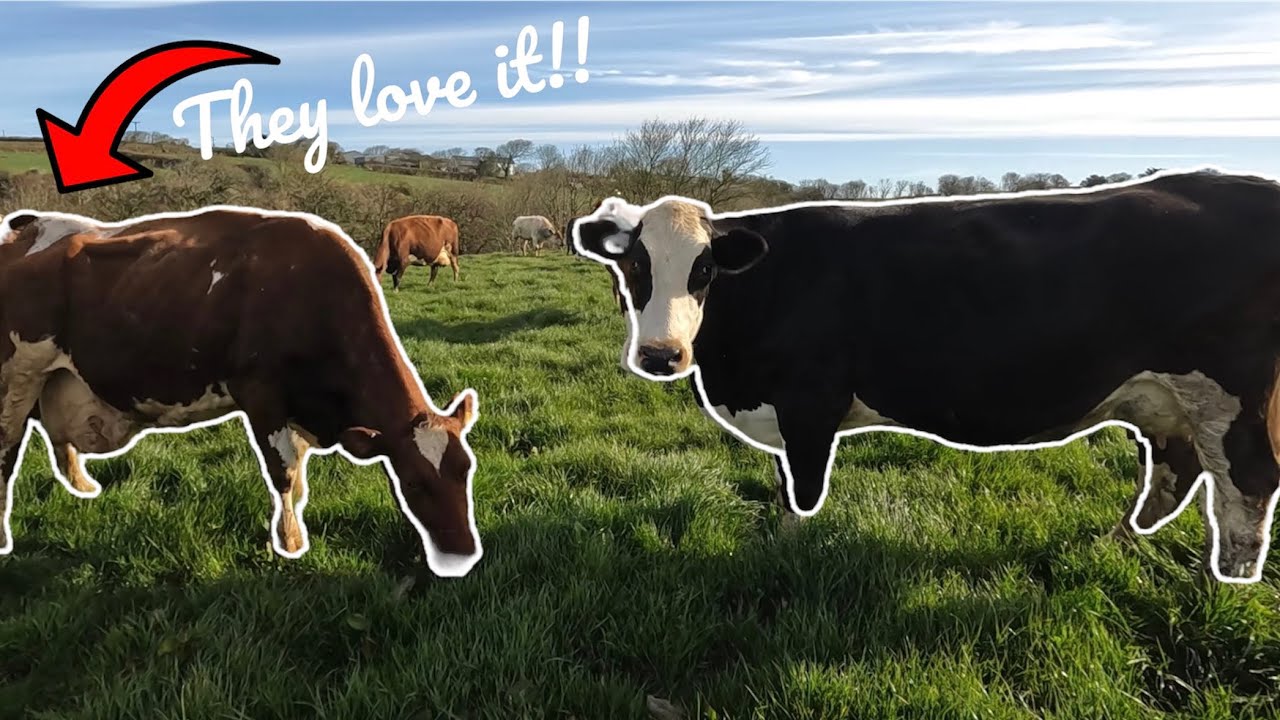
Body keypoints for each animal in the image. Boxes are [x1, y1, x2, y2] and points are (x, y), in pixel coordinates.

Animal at [0, 206, 484, 578]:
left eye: (467, 470)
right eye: (414, 484)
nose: (462, 552)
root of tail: (26, 227)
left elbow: (300, 479)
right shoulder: (261, 396)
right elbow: (283, 474)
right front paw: (290, 543)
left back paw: (84, 486)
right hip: (17, 378)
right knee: (7, 456)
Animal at [573, 168, 1280, 584]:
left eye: (705, 269)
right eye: (635, 267)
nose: (661, 355)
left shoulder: (808, 401)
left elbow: (801, 491)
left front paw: (786, 555)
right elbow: (780, 483)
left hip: (1228, 394)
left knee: (1246, 484)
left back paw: (1223, 585)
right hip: (1169, 397)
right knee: (1176, 472)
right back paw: (1117, 543)